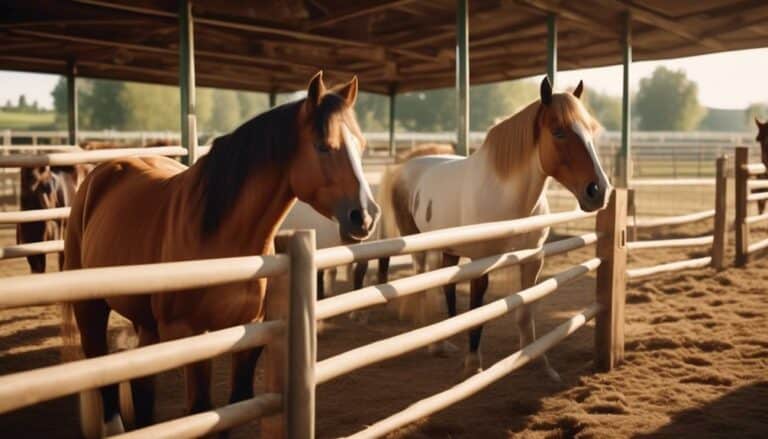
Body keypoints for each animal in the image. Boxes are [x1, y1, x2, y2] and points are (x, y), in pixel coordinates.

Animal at [60, 72, 380, 437]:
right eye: (323, 145)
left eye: (362, 146)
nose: (365, 216)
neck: (219, 235)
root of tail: (103, 171)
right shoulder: (190, 335)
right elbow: (202, 409)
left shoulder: (249, 332)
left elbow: (234, 407)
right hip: (91, 309)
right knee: (104, 379)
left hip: (147, 324)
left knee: (142, 386)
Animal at [378, 78, 611, 378]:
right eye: (558, 131)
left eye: (591, 130)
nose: (599, 190)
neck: (508, 197)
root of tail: (404, 166)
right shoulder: (482, 262)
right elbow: (478, 312)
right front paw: (473, 364)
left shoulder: (532, 259)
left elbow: (525, 310)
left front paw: (538, 362)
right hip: (419, 246)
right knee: (424, 285)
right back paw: (436, 345)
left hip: (449, 250)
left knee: (447, 289)